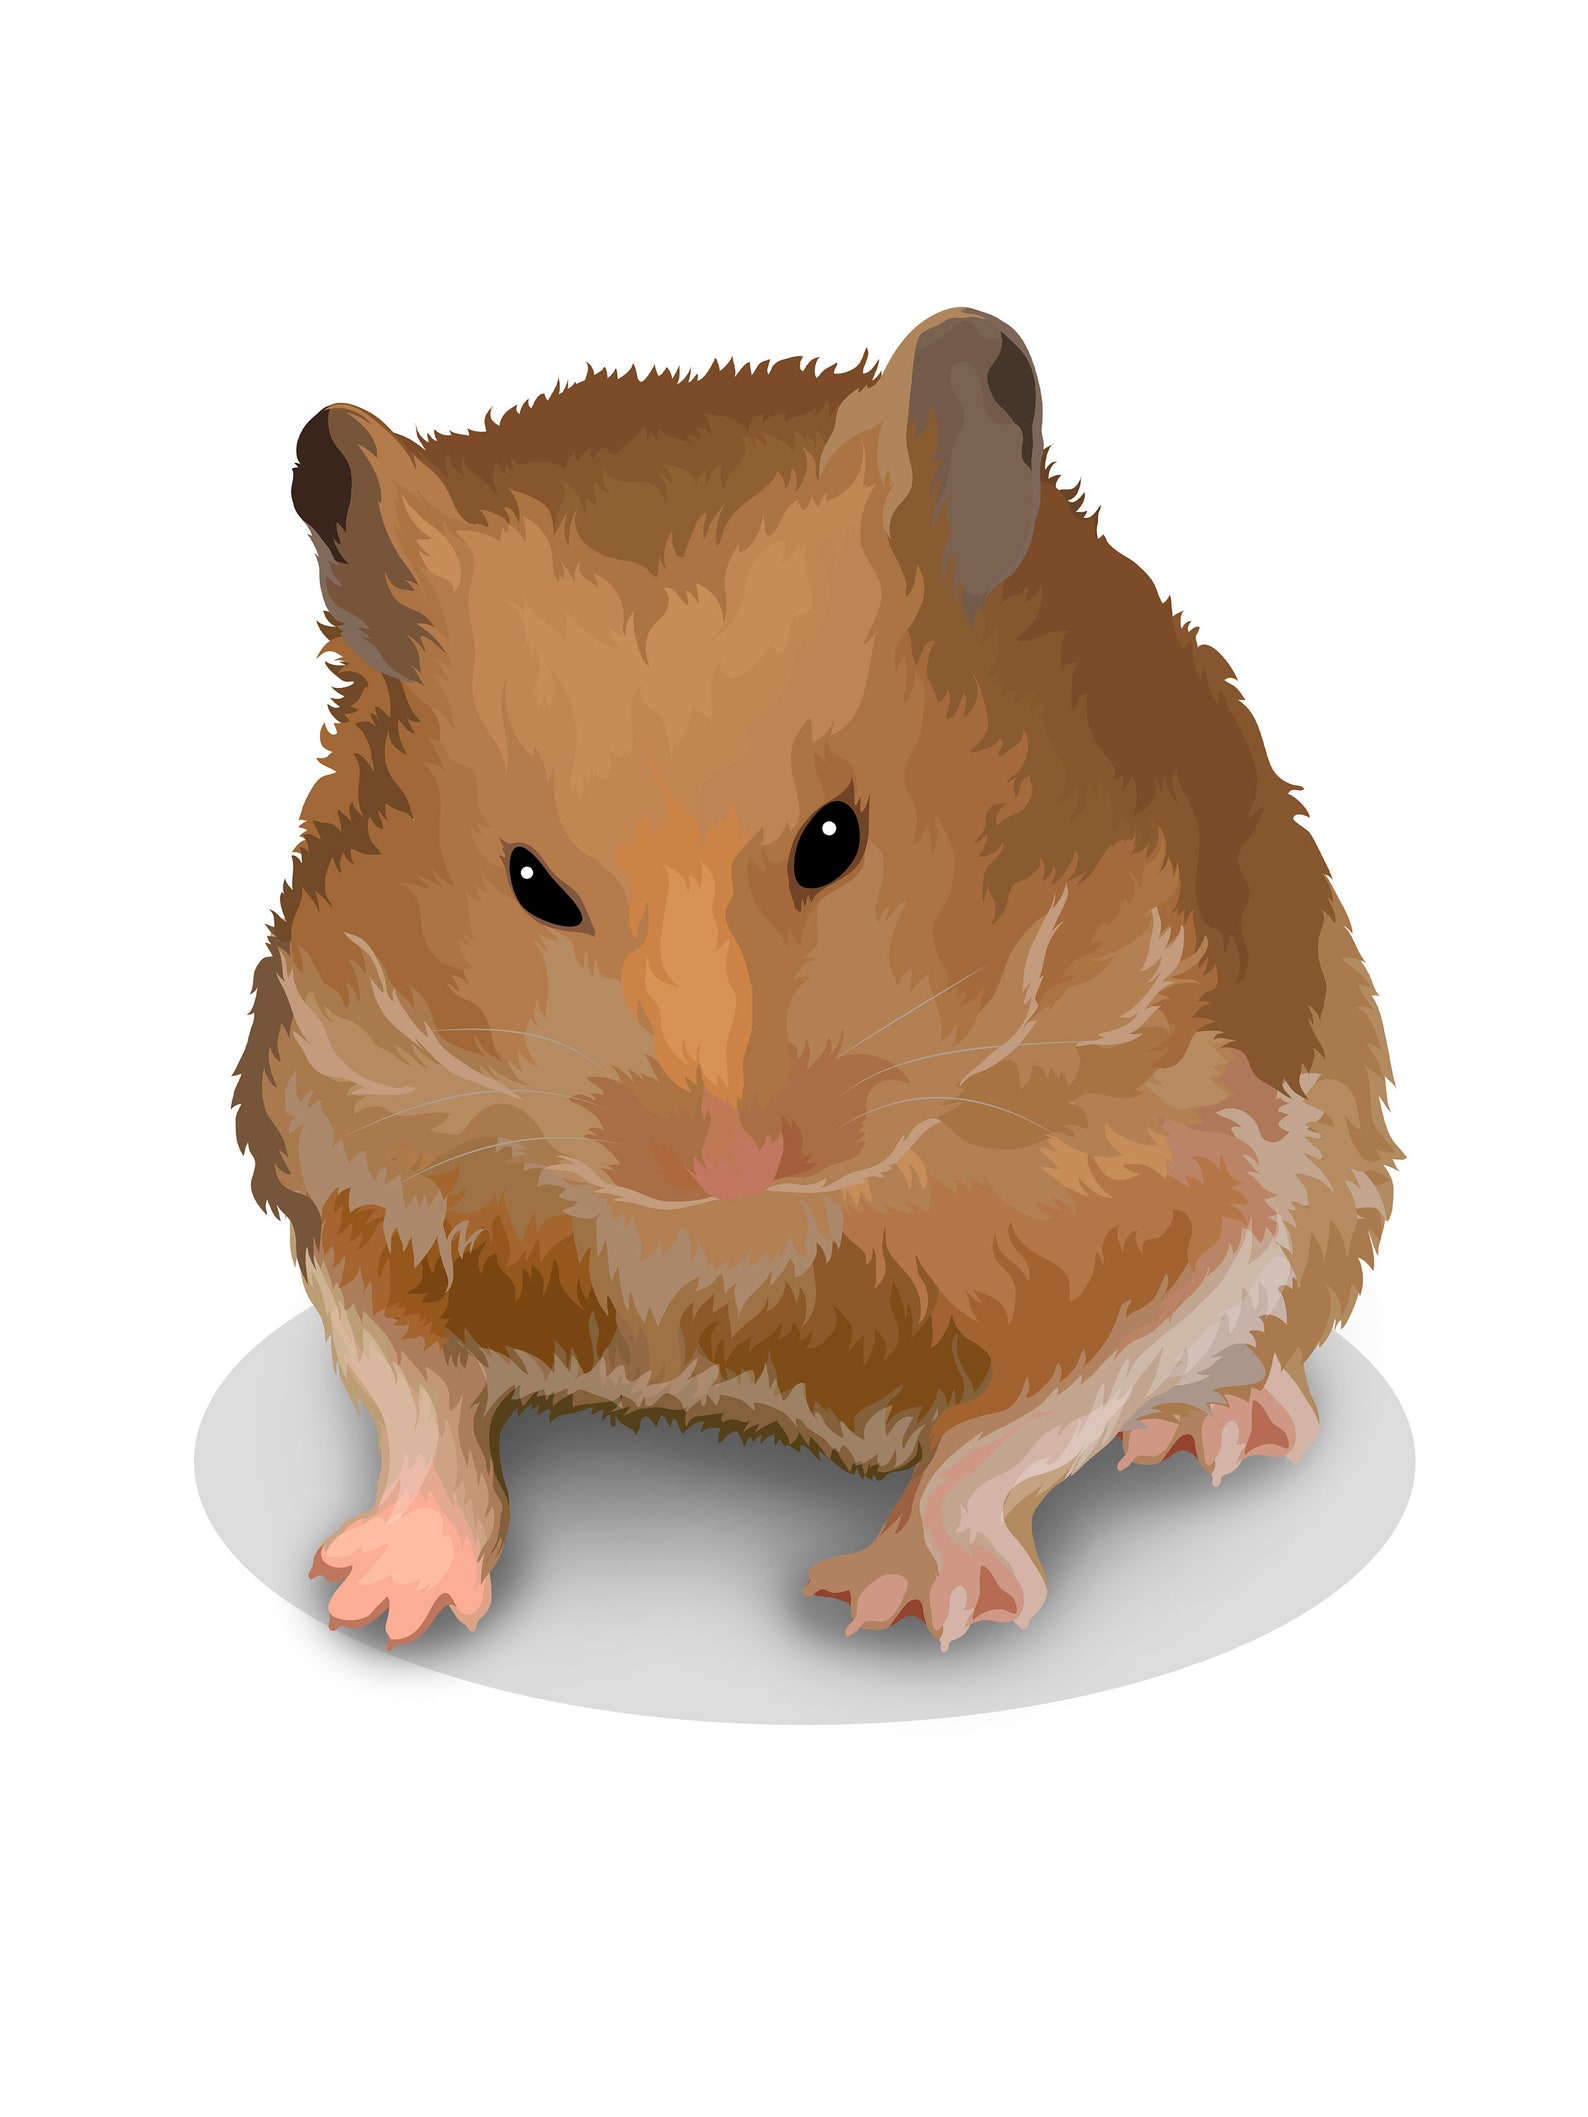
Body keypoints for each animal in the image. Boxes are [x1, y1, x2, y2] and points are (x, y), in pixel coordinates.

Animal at [235, 308, 1396, 1649]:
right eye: (532, 880)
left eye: (833, 839)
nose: (730, 1161)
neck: (728, 1239)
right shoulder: (335, 1130)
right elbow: (416, 1399)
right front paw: (376, 1602)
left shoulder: (1207, 1181)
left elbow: (1019, 1424)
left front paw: (901, 1608)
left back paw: (1216, 1431)